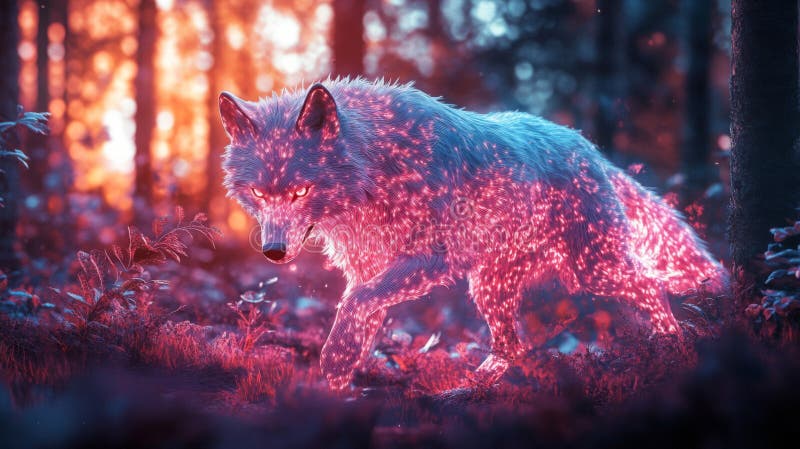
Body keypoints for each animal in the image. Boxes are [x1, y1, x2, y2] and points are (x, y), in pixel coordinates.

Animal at [219, 78, 728, 391]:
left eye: (301, 191)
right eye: (259, 193)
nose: (274, 253)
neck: (375, 171)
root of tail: (591, 149)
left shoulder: (433, 260)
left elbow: (357, 304)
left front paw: (336, 361)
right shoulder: (367, 269)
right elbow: (361, 312)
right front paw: (338, 382)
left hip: (594, 270)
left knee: (652, 288)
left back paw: (675, 347)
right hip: (489, 286)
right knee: (512, 345)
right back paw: (465, 390)